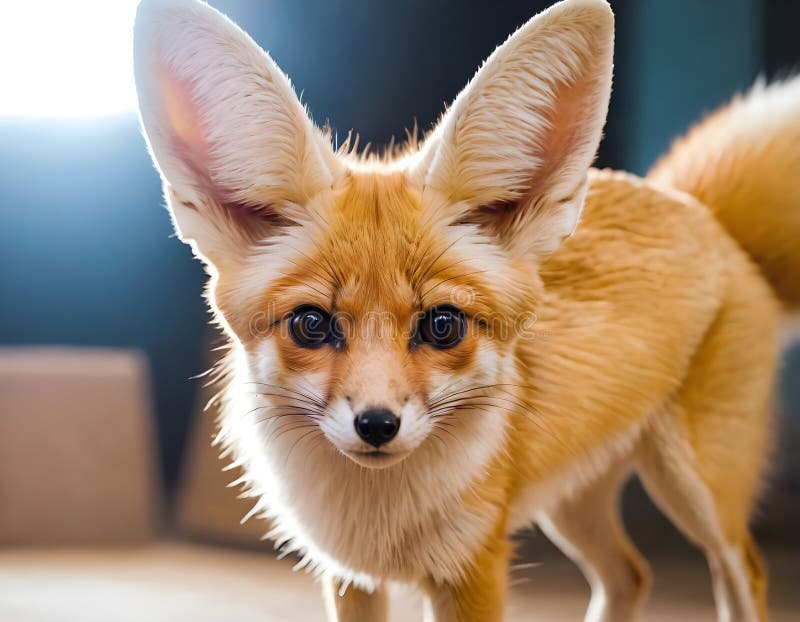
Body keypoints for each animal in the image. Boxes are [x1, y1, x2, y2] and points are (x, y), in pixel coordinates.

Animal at [132, 0, 800, 620]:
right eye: (311, 324)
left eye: (443, 325)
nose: (377, 425)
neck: (380, 521)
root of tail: (703, 213)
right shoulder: (350, 576)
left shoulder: (474, 566)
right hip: (573, 505)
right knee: (631, 575)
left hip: (700, 492)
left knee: (743, 571)